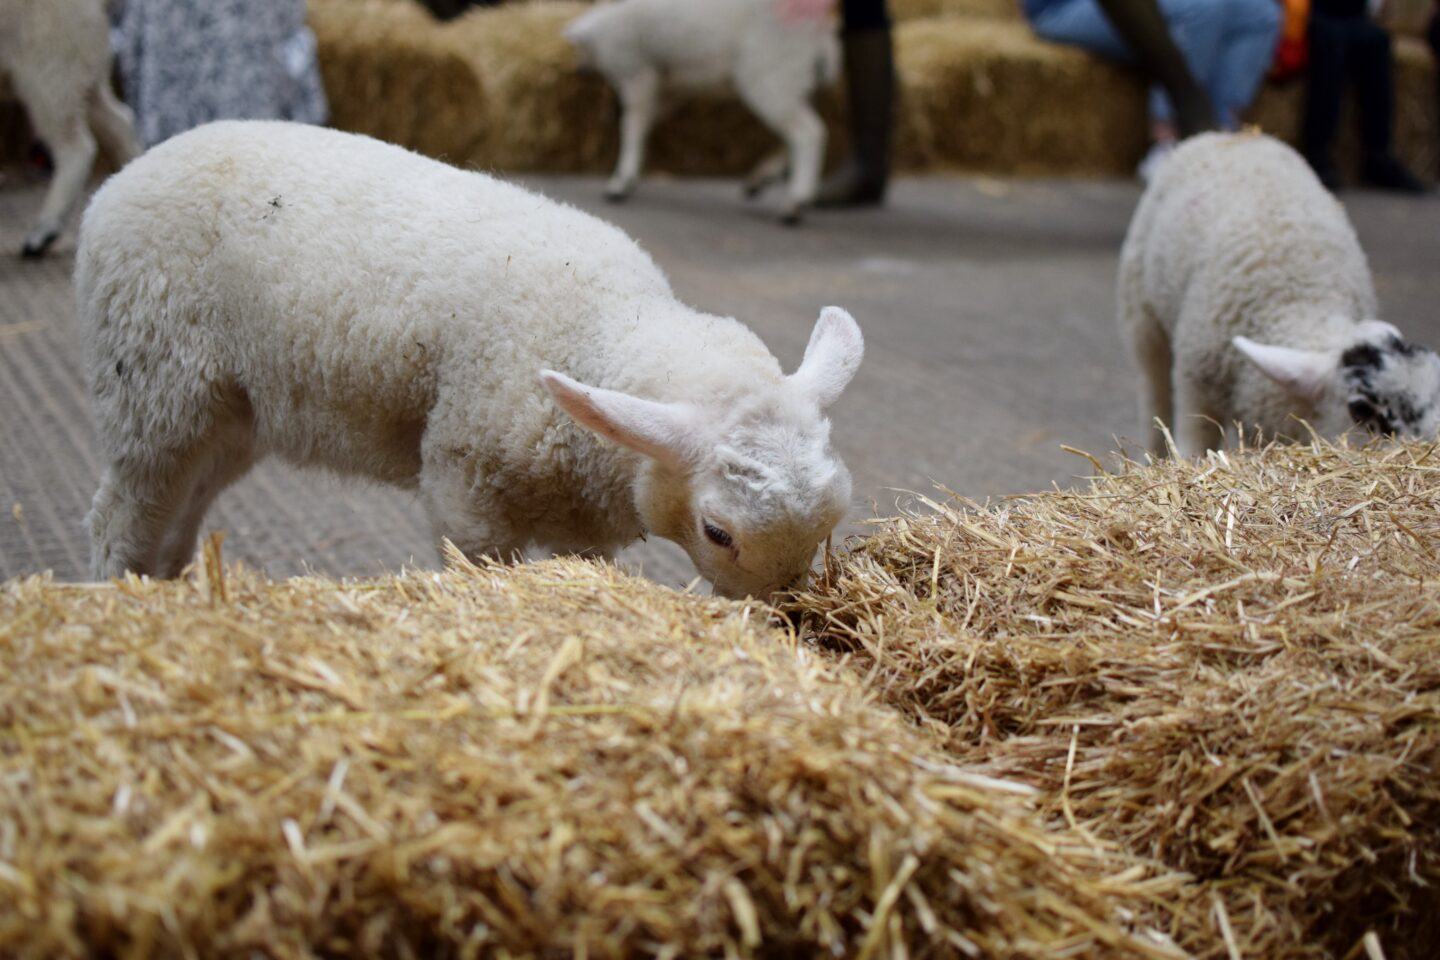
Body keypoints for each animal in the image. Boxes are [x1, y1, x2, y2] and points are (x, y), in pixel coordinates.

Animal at [77, 120, 864, 598]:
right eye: (718, 533)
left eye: (832, 520)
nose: (780, 618)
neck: (601, 324)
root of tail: (128, 174)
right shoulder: (467, 489)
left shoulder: (580, 521)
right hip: (153, 379)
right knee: (124, 512)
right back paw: (118, 589)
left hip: (230, 409)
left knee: (187, 496)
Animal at [564, 0, 840, 224]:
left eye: (578, 48)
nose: (578, 70)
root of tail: (821, 38)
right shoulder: (671, 88)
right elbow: (647, 122)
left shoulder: (638, 74)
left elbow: (633, 125)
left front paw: (620, 182)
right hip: (793, 84)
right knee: (795, 134)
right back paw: (761, 179)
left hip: (772, 77)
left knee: (809, 133)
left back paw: (795, 201)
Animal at [1118, 131, 1440, 457]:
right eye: (1360, 410)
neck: (1301, 304)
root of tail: (1231, 135)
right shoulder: (1197, 385)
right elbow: (1194, 447)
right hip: (1144, 320)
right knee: (1154, 395)